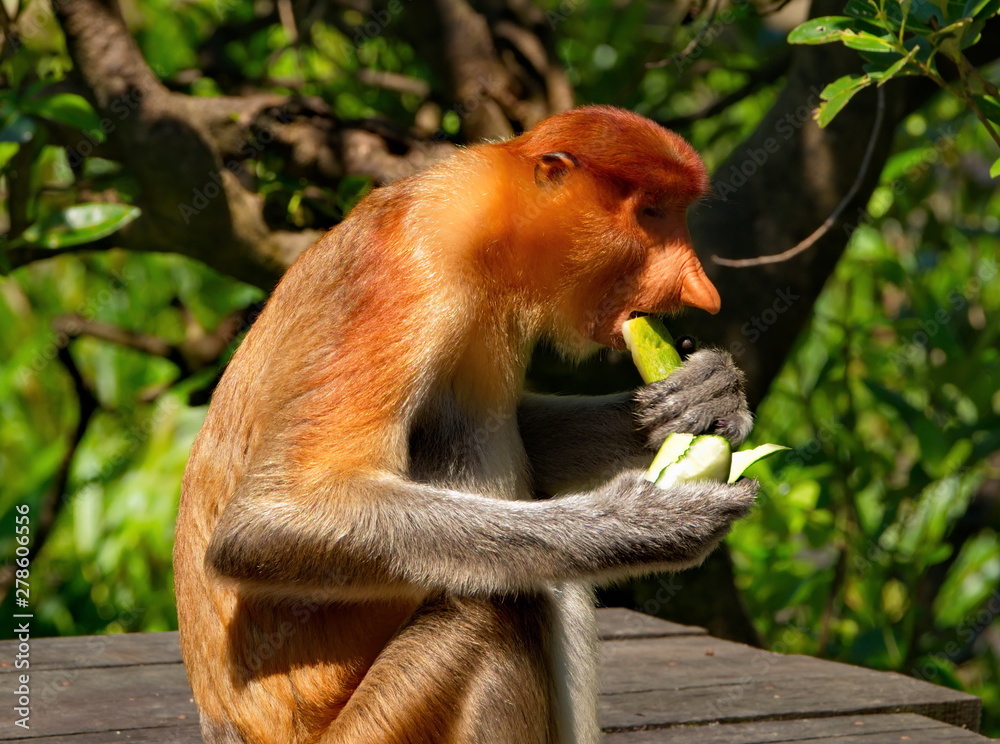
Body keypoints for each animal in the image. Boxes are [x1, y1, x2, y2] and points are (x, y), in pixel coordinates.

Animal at [173, 105, 756, 744]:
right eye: (651, 213)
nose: (701, 291)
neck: (487, 225)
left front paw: (702, 394)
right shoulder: (409, 271)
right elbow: (268, 517)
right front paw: (642, 522)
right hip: (371, 727)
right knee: (490, 609)